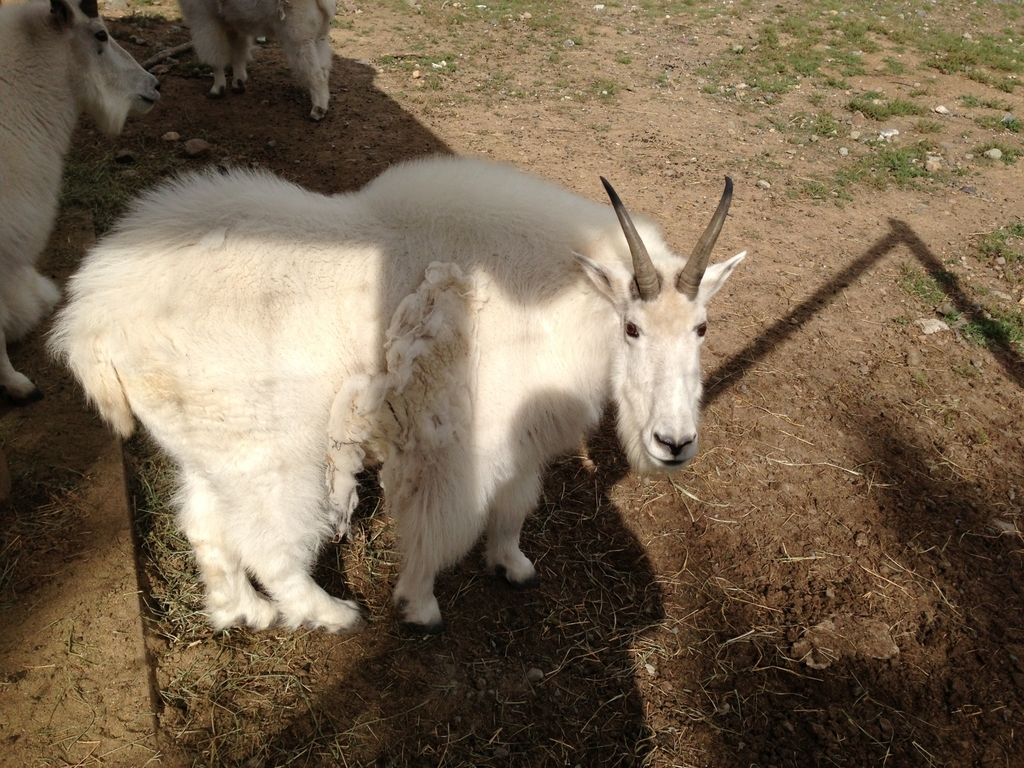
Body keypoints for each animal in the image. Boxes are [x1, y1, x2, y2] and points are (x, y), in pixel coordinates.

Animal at [49, 156, 746, 633]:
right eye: (632, 327)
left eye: (702, 327)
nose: (674, 442)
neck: (561, 291)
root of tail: (91, 324)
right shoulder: (460, 439)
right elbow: (443, 520)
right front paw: (420, 605)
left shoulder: (523, 435)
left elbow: (516, 503)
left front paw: (512, 566)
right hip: (270, 451)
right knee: (270, 545)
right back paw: (332, 614)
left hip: (211, 451)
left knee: (205, 526)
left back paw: (244, 613)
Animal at [178, 0, 337, 120]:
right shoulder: (232, 21)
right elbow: (238, 52)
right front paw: (238, 83)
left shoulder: (204, 17)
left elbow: (215, 57)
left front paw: (217, 89)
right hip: (319, 35)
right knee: (324, 69)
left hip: (299, 36)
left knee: (315, 74)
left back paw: (317, 111)